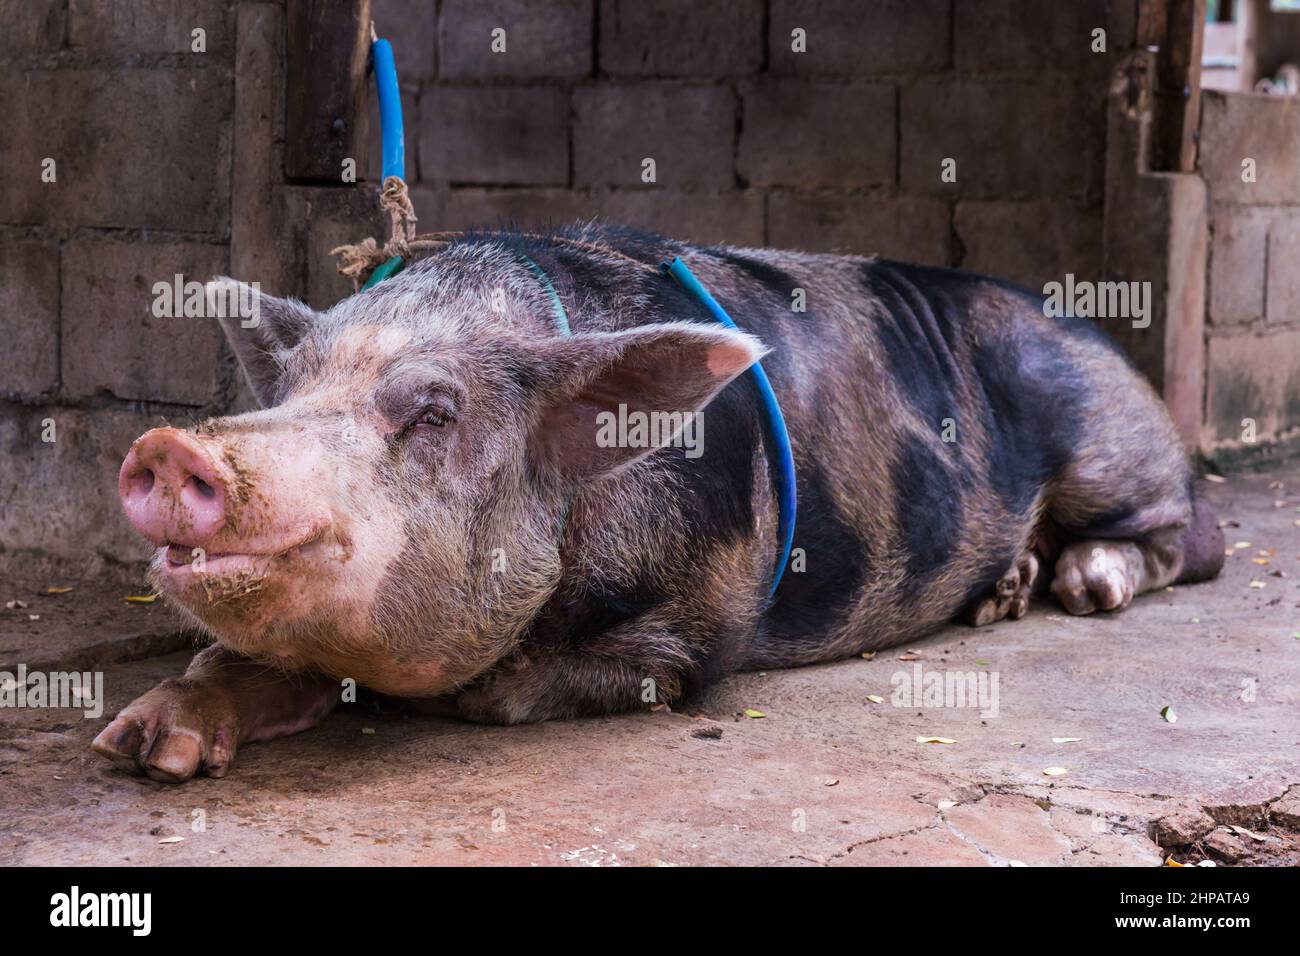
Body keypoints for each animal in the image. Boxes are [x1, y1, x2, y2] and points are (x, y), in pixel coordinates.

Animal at [93, 223, 1224, 782]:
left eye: (434, 412)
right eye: (287, 391)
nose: (168, 449)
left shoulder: (695, 633)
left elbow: (505, 692)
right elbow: (231, 658)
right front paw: (141, 749)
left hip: (1112, 446)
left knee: (1194, 536)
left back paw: (1084, 586)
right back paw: (1004, 594)